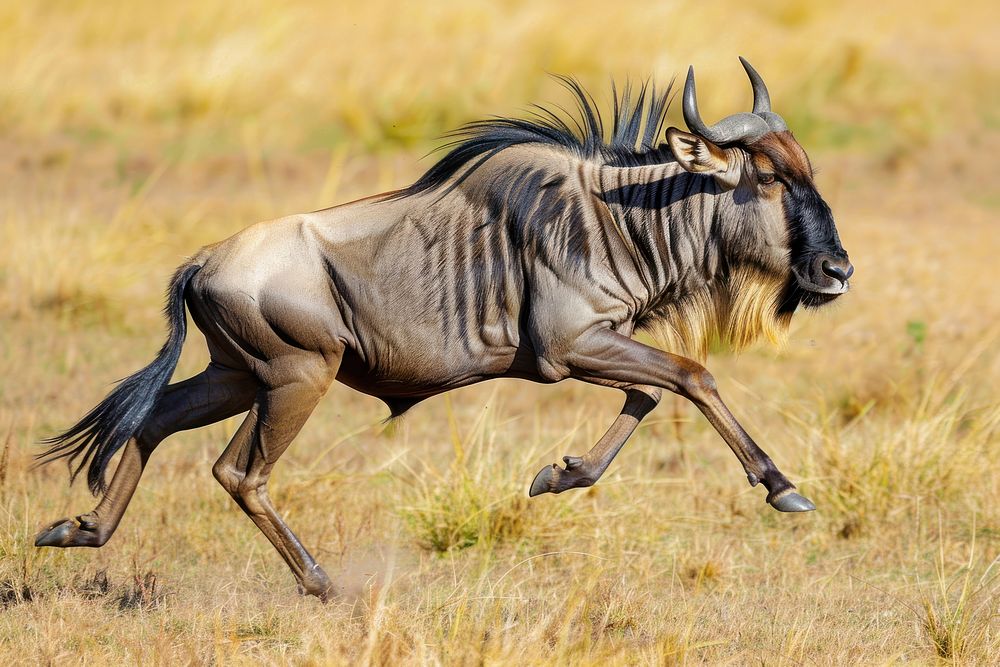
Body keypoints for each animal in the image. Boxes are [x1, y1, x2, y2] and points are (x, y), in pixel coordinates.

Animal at [37, 59, 852, 600]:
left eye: (809, 168)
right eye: (769, 178)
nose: (836, 269)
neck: (620, 218)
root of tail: (201, 261)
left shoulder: (599, 343)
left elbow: (651, 395)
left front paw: (559, 474)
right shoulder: (569, 347)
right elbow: (693, 376)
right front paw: (782, 486)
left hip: (236, 377)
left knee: (153, 421)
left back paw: (78, 530)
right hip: (298, 378)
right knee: (239, 471)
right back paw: (321, 582)